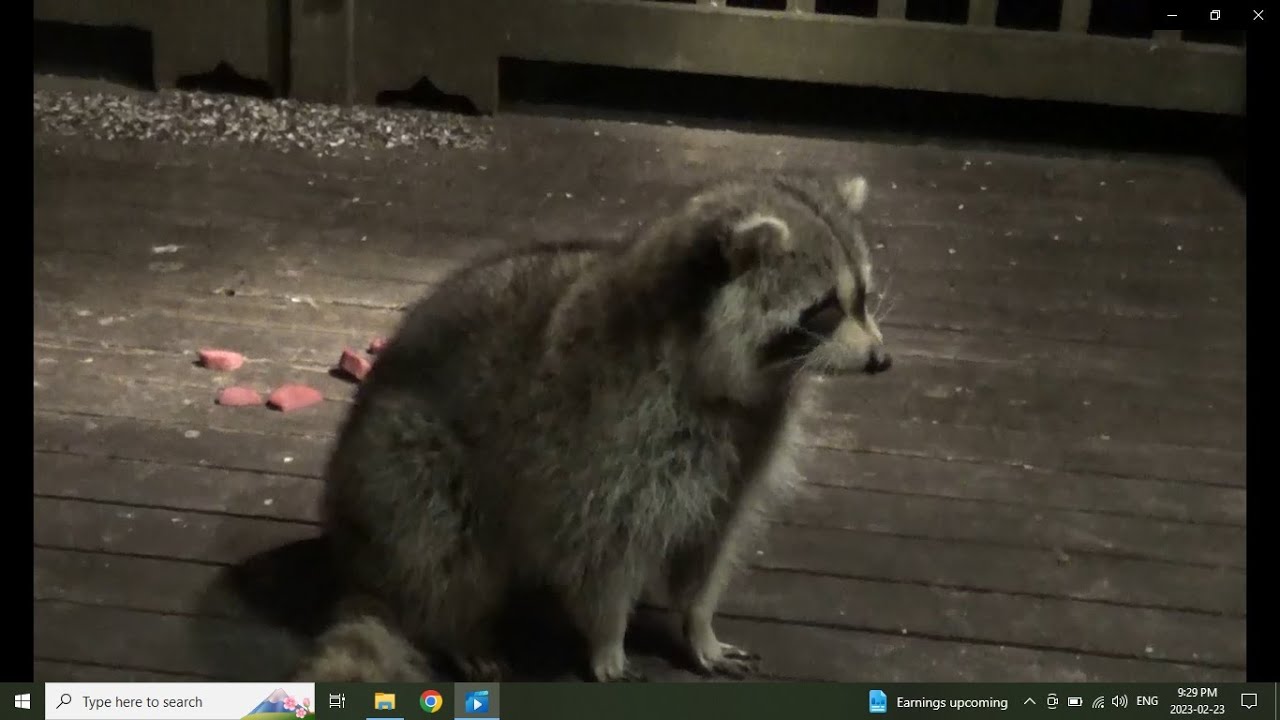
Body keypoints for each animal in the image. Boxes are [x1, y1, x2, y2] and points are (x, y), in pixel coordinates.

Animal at [301, 172, 891, 683]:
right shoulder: (606, 440)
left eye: (862, 296)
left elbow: (711, 543)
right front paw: (608, 639)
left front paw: (699, 625)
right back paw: (458, 629)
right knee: (443, 549)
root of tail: (360, 560)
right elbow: (600, 551)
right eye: (824, 309)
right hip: (397, 464)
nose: (882, 360)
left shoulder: (749, 444)